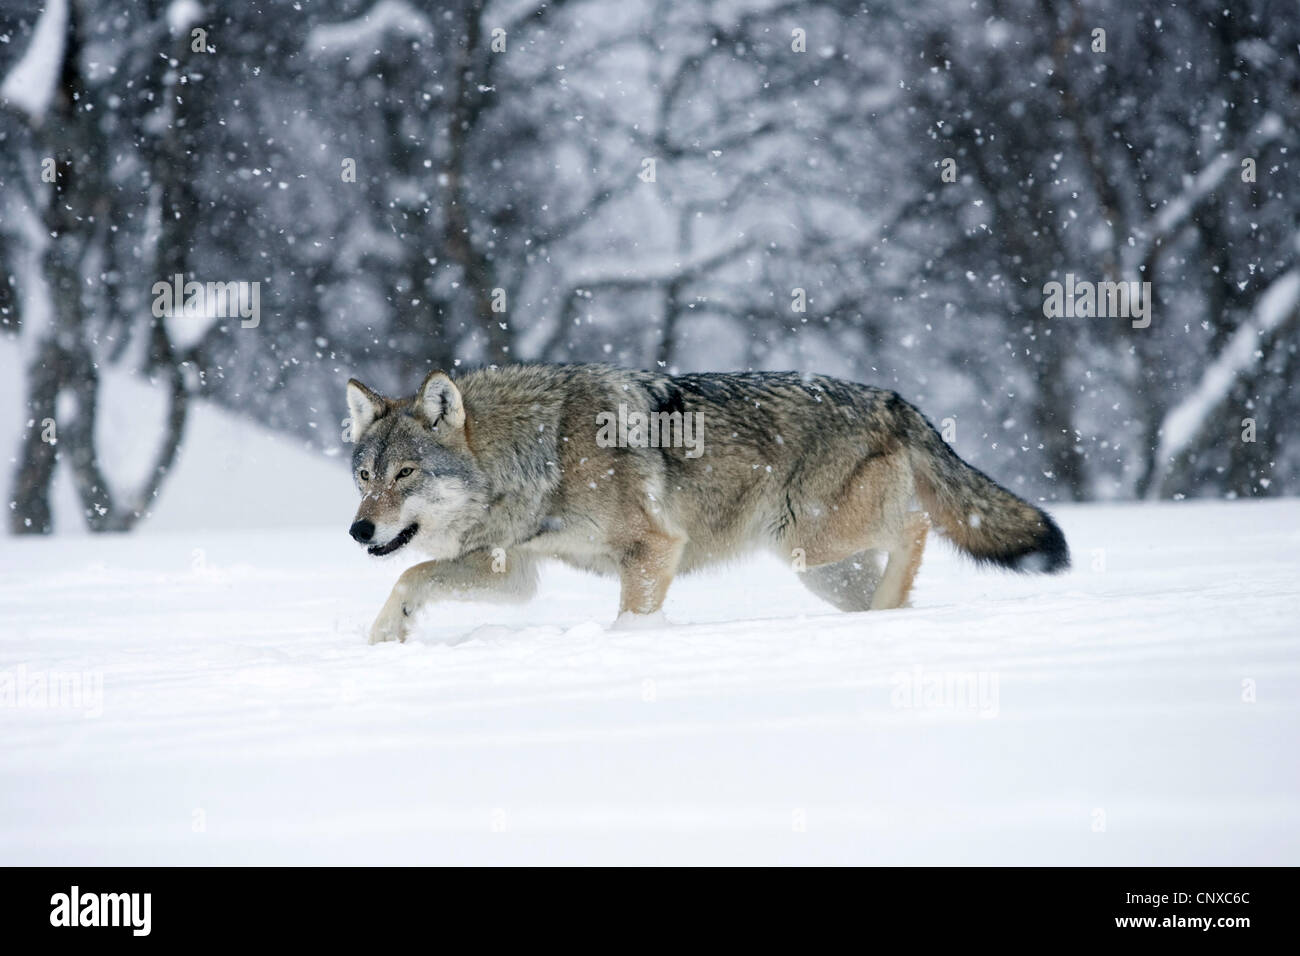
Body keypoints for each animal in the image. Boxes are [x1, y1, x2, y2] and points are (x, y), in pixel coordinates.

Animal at [346, 365, 1069, 643]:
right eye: (363, 476)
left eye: (406, 473)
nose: (358, 530)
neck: (538, 449)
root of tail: (892, 397)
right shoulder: (514, 568)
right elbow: (413, 577)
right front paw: (385, 636)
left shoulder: (653, 550)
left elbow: (632, 616)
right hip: (822, 568)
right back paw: (884, 619)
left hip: (814, 540)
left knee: (919, 526)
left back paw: (891, 615)